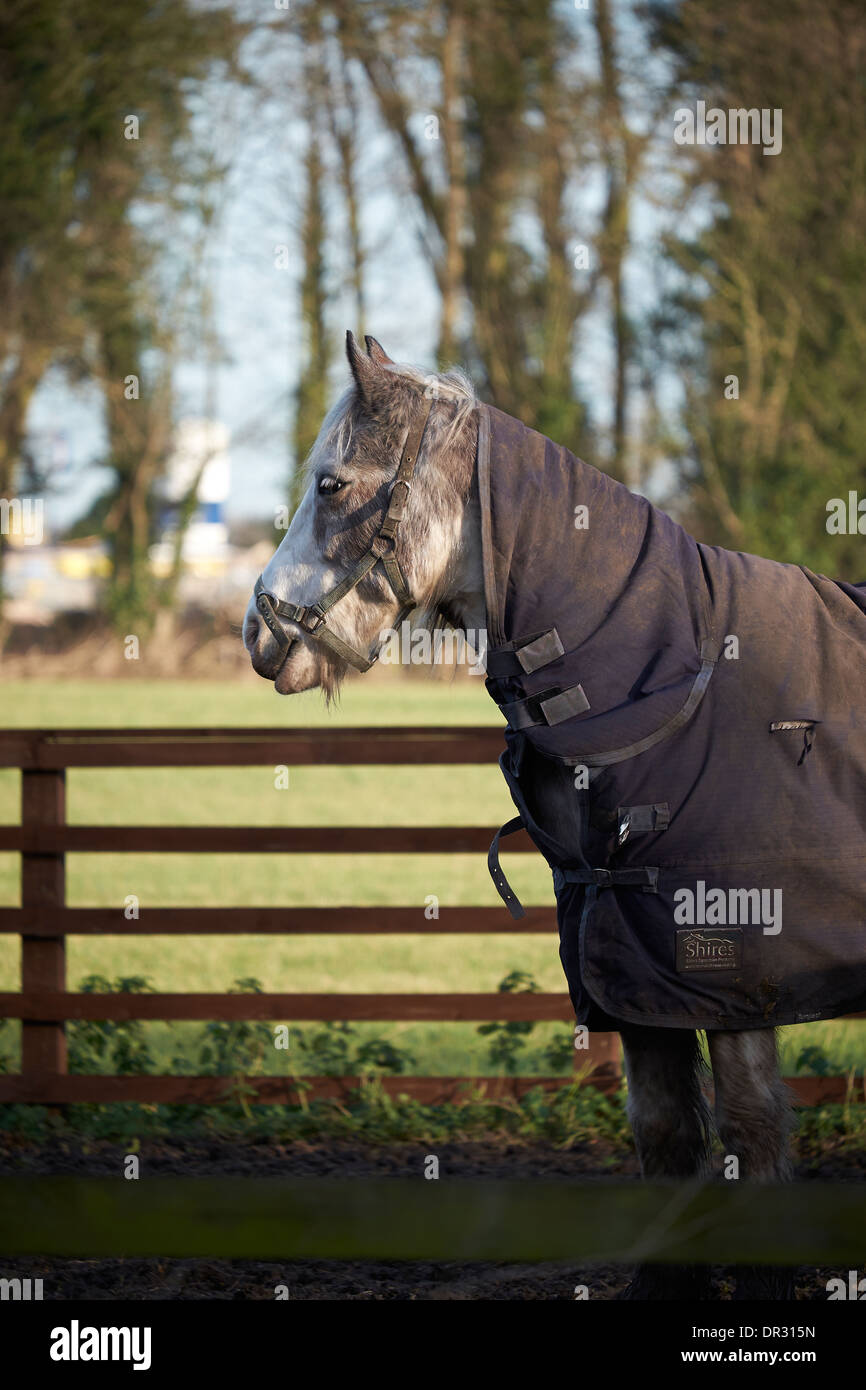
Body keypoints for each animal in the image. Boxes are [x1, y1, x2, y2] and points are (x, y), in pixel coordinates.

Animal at [244, 331, 866, 1300]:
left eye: (333, 485)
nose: (258, 631)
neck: (675, 686)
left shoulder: (730, 979)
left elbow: (753, 1141)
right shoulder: (636, 983)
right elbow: (666, 1135)